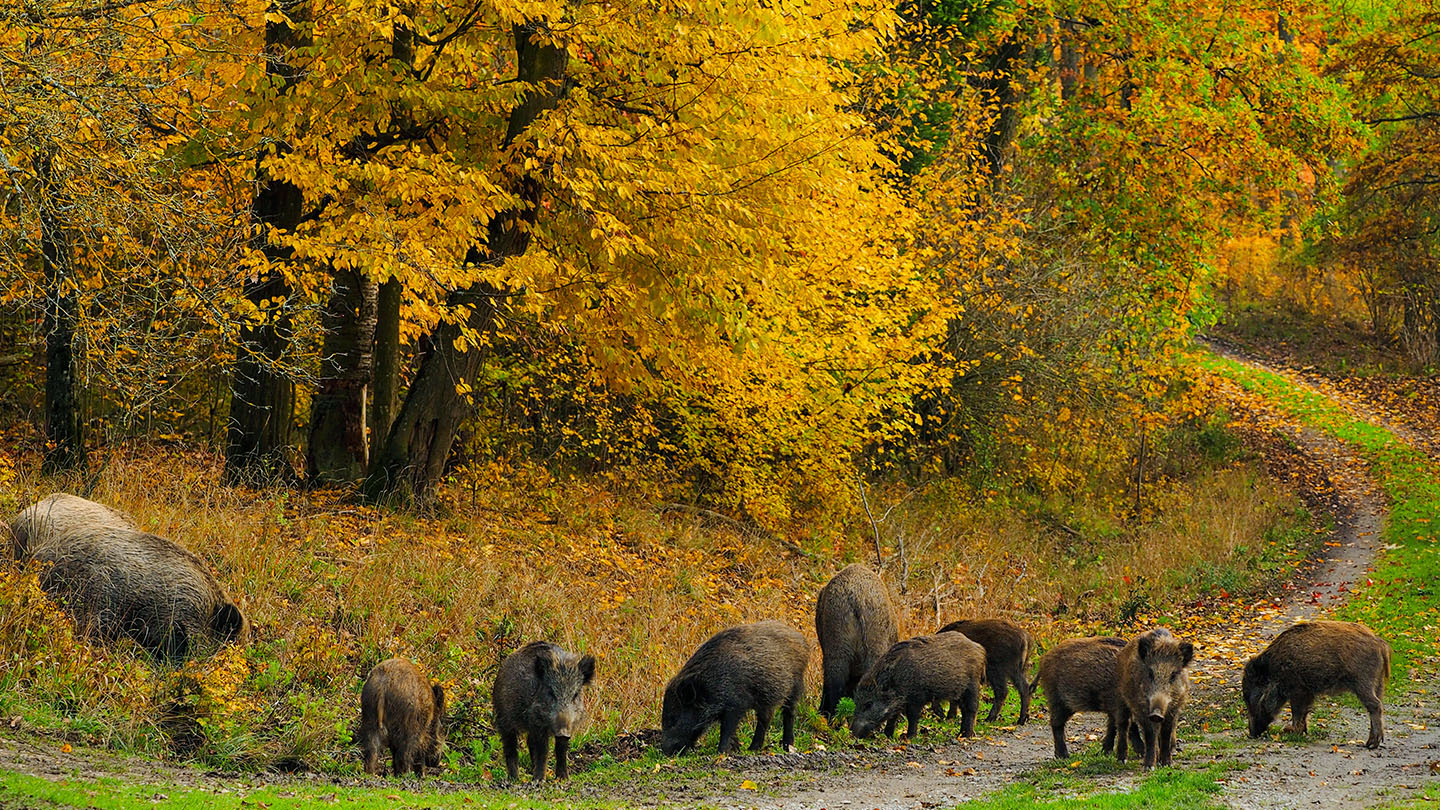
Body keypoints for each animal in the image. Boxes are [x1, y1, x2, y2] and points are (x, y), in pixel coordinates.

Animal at [493, 641, 596, 781]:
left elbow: (561, 749)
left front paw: (563, 778)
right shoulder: (537, 723)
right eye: (551, 693)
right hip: (503, 717)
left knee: (529, 743)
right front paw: (539, 779)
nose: (563, 731)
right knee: (510, 746)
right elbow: (543, 751)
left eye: (575, 695)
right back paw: (514, 778)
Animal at [659, 620, 809, 755]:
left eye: (673, 718)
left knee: (788, 713)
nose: (665, 751)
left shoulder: (736, 704)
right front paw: (736, 750)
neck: (707, 687)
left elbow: (727, 729)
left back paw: (787, 747)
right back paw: (753, 749)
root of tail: (801, 638)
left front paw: (722, 752)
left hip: (795, 685)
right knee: (766, 718)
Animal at [850, 632, 986, 740]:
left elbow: (912, 716)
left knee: (971, 708)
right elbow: (893, 717)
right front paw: (888, 735)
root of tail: (979, 648)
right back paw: (961, 734)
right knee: (963, 709)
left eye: (869, 704)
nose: (852, 732)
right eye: (856, 702)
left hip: (972, 685)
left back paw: (966, 736)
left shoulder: (917, 697)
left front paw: (910, 737)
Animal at [1115, 627, 1193, 768]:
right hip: (1121, 697)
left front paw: (1167, 764)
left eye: (1173, 675)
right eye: (1150, 673)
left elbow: (1166, 732)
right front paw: (1149, 767)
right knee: (1124, 724)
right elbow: (1150, 734)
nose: (1156, 714)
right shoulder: (1140, 707)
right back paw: (1122, 760)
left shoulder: (1174, 708)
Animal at [1242, 620, 1390, 749]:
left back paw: (1371, 744)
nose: (1251, 734)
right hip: (1378, 684)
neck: (1274, 670)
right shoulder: (1307, 693)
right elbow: (1303, 713)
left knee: (1375, 705)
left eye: (1253, 698)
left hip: (1363, 682)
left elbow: (1297, 712)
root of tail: (1380, 644)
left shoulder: (1298, 690)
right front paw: (1301, 731)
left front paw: (1290, 731)